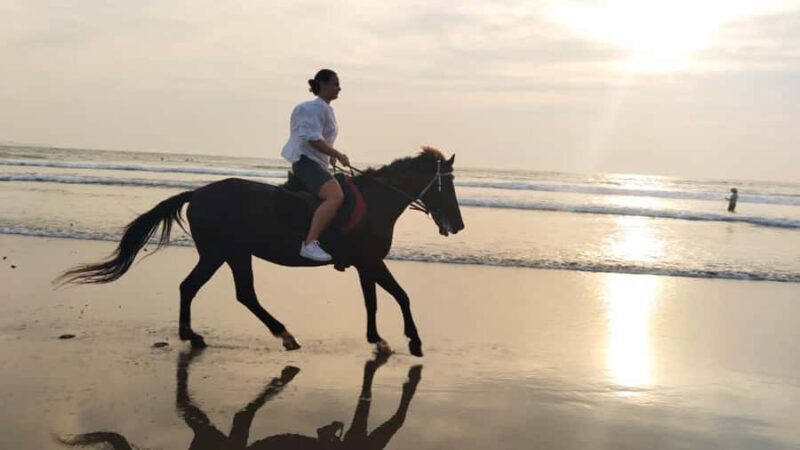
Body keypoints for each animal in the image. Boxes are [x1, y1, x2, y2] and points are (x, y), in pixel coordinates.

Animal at [58, 147, 464, 356]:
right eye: (446, 185)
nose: (458, 225)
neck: (376, 201)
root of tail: (198, 193)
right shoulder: (371, 261)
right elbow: (401, 295)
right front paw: (414, 341)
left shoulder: (366, 264)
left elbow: (373, 302)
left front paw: (378, 340)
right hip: (221, 253)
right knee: (215, 290)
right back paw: (269, 334)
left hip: (230, 254)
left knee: (224, 292)